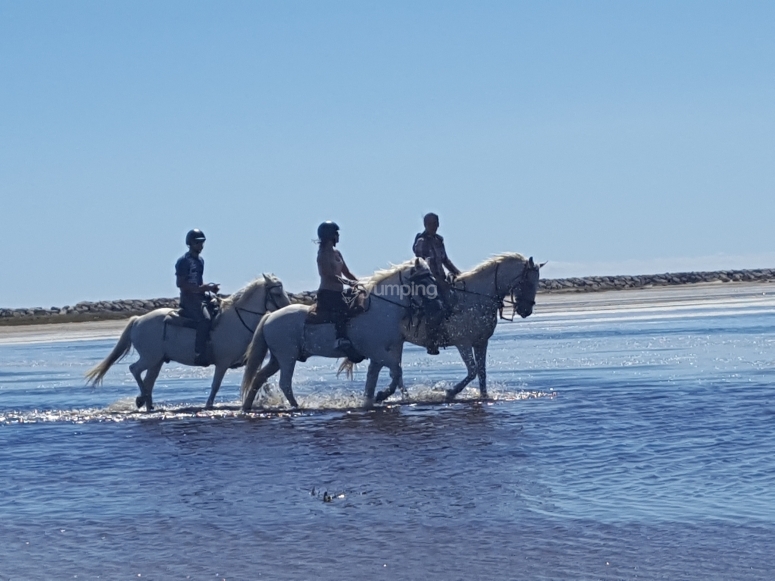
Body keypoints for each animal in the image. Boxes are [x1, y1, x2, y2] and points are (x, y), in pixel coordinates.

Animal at [85, 274, 291, 411]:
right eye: (277, 293)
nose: (288, 308)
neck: (238, 320)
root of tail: (137, 320)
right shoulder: (222, 363)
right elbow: (215, 386)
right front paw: (208, 406)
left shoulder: (246, 361)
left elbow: (261, 380)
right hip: (150, 358)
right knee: (135, 370)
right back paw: (141, 399)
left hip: (157, 361)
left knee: (149, 380)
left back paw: (148, 404)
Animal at [240, 259, 437, 411]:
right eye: (423, 280)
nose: (438, 303)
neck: (382, 308)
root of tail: (270, 316)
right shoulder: (377, 352)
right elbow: (396, 370)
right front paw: (382, 395)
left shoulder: (381, 354)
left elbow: (375, 380)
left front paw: (371, 400)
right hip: (287, 356)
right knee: (284, 384)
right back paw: (297, 406)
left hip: (277, 358)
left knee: (259, 378)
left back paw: (247, 406)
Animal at [371, 253, 542, 403]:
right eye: (528, 282)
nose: (526, 310)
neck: (476, 298)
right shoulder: (463, 343)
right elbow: (473, 371)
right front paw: (450, 392)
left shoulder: (481, 343)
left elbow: (482, 372)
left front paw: (484, 396)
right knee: (396, 372)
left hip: (398, 343)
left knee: (396, 372)